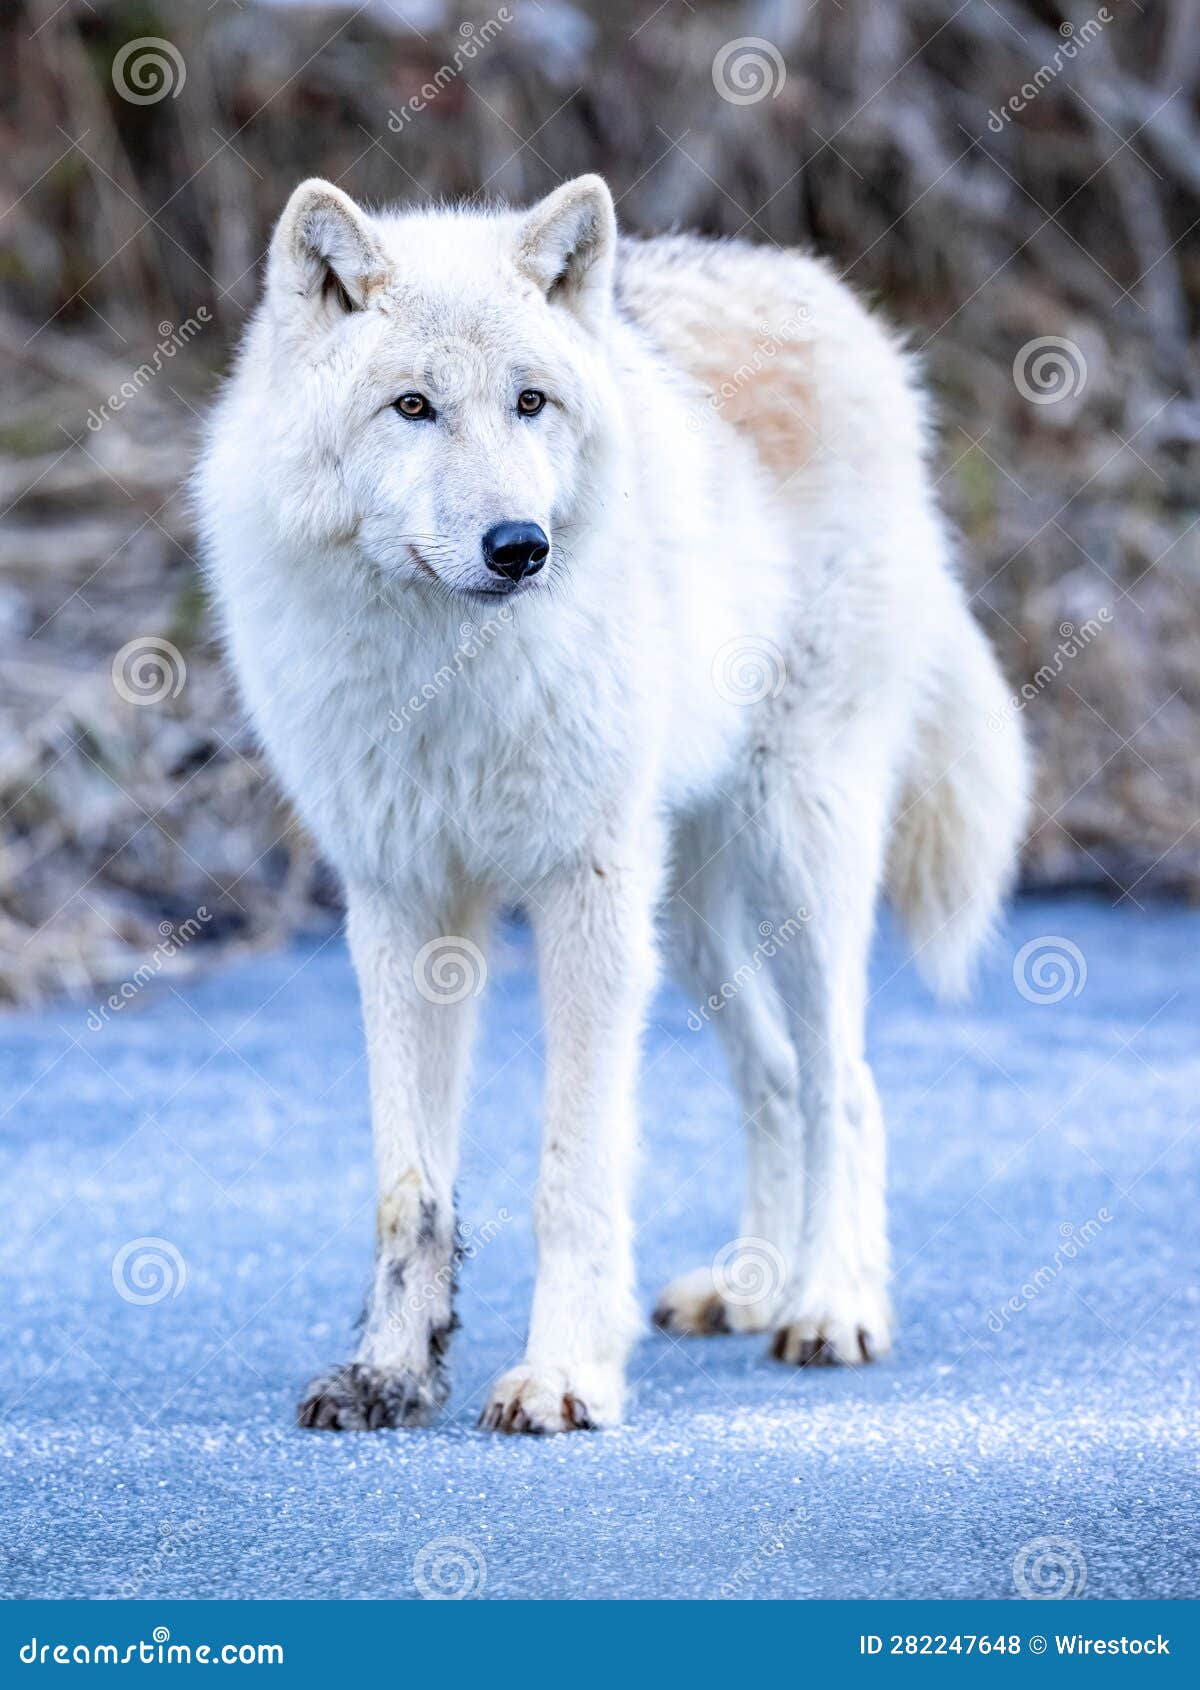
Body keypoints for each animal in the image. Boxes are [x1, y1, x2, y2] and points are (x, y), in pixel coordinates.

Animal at [196, 174, 1028, 1433]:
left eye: (530, 402)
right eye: (412, 406)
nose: (519, 547)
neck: (445, 677)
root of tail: (831, 297)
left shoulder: (582, 896)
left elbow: (571, 1170)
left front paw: (562, 1376)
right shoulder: (402, 907)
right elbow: (409, 1185)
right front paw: (391, 1371)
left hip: (791, 854)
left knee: (846, 1085)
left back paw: (831, 1305)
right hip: (681, 918)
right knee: (775, 1077)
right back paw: (749, 1284)